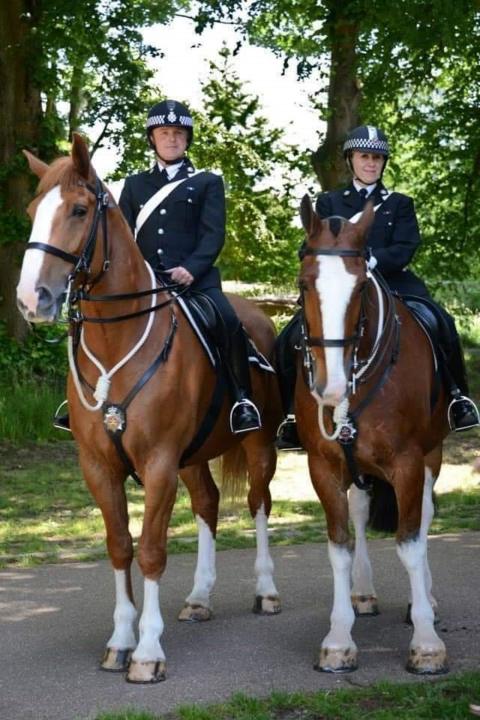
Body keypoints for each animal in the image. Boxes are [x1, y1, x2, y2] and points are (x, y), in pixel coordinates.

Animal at [16, 134, 283, 683]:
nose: (32, 299)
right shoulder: (100, 467)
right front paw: (121, 640)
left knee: (258, 503)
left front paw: (147, 651)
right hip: (194, 456)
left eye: (78, 210)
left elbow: (154, 551)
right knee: (206, 504)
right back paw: (200, 598)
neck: (117, 342)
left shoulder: (158, 463)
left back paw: (266, 591)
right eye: (32, 211)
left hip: (259, 443)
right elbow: (121, 546)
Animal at [294, 195, 450, 675]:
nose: (331, 386)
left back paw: (427, 601)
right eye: (304, 284)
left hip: (432, 455)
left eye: (361, 286)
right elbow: (340, 545)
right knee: (361, 513)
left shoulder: (409, 462)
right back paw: (363, 593)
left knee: (424, 514)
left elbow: (410, 542)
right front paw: (339, 638)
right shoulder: (324, 466)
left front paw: (426, 643)